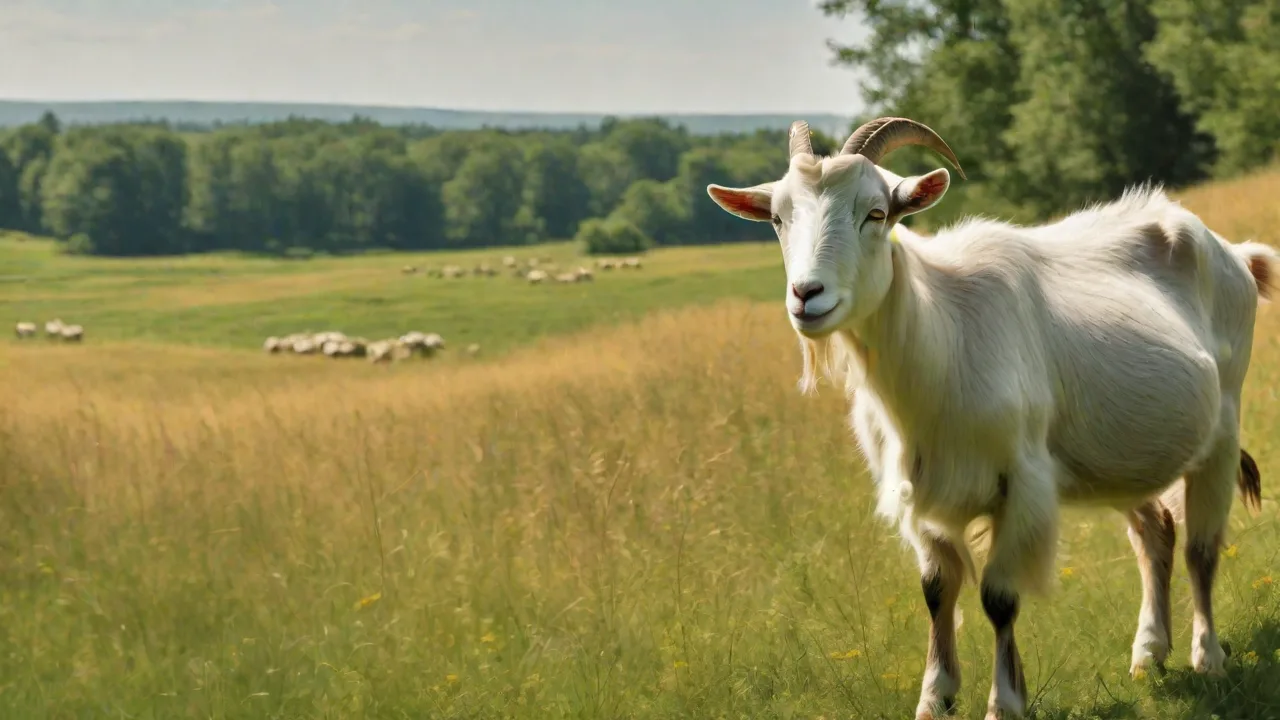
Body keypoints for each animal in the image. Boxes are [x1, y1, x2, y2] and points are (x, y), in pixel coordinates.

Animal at [706, 116, 1276, 720]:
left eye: (876, 212)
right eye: (777, 218)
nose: (806, 295)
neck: (944, 340)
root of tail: (1235, 254)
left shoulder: (1022, 482)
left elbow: (999, 598)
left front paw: (1004, 701)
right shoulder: (921, 490)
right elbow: (937, 590)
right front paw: (935, 695)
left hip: (1223, 425)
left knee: (1201, 549)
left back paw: (1207, 656)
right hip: (1126, 452)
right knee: (1156, 533)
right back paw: (1148, 654)